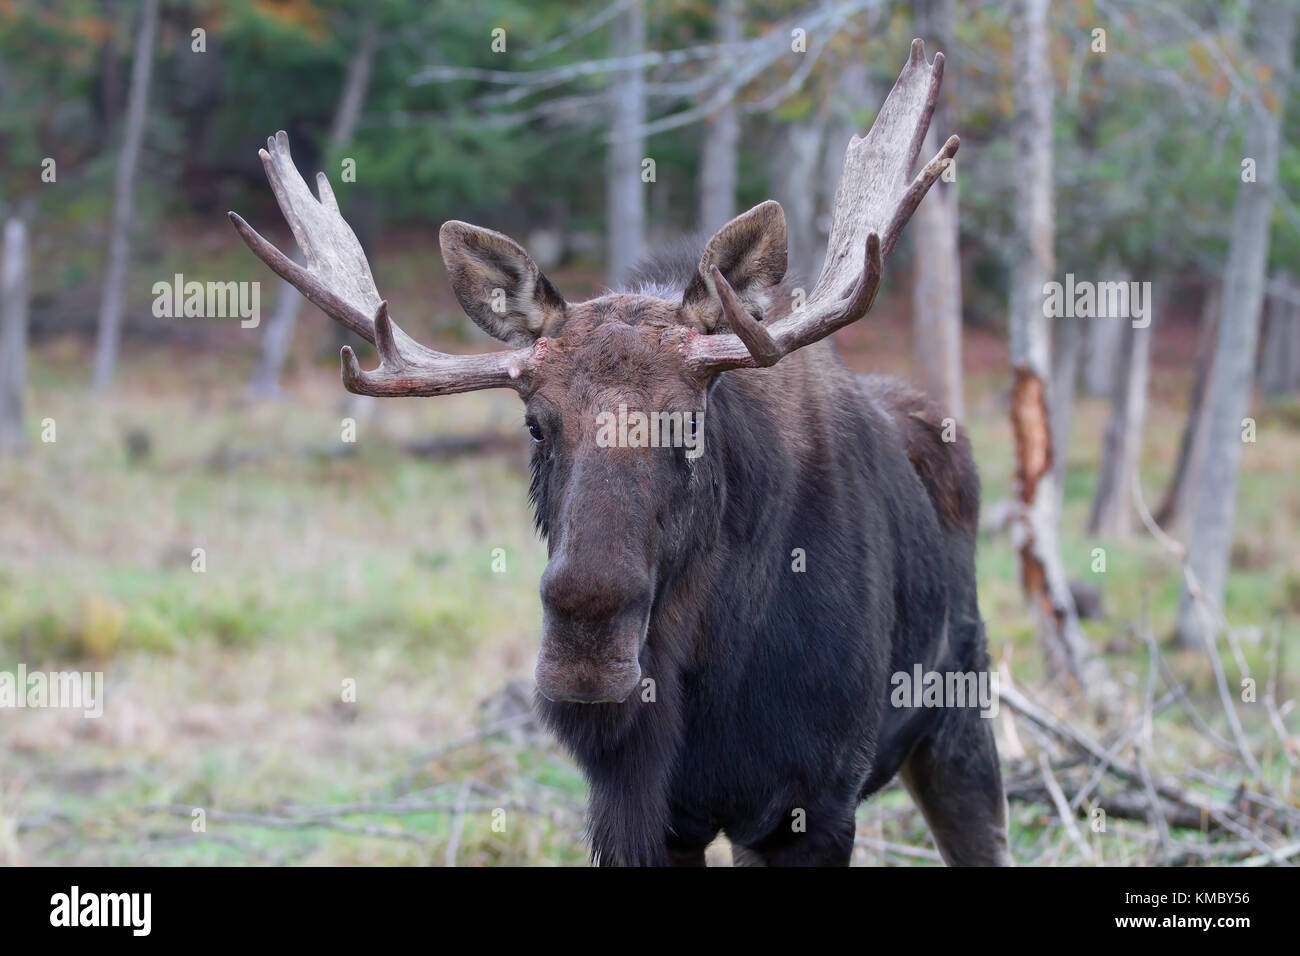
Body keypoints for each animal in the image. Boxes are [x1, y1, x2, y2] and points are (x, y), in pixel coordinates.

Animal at [231, 40, 1010, 867]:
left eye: (690, 424)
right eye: (536, 425)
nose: (585, 645)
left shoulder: (817, 805)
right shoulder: (653, 817)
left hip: (961, 722)